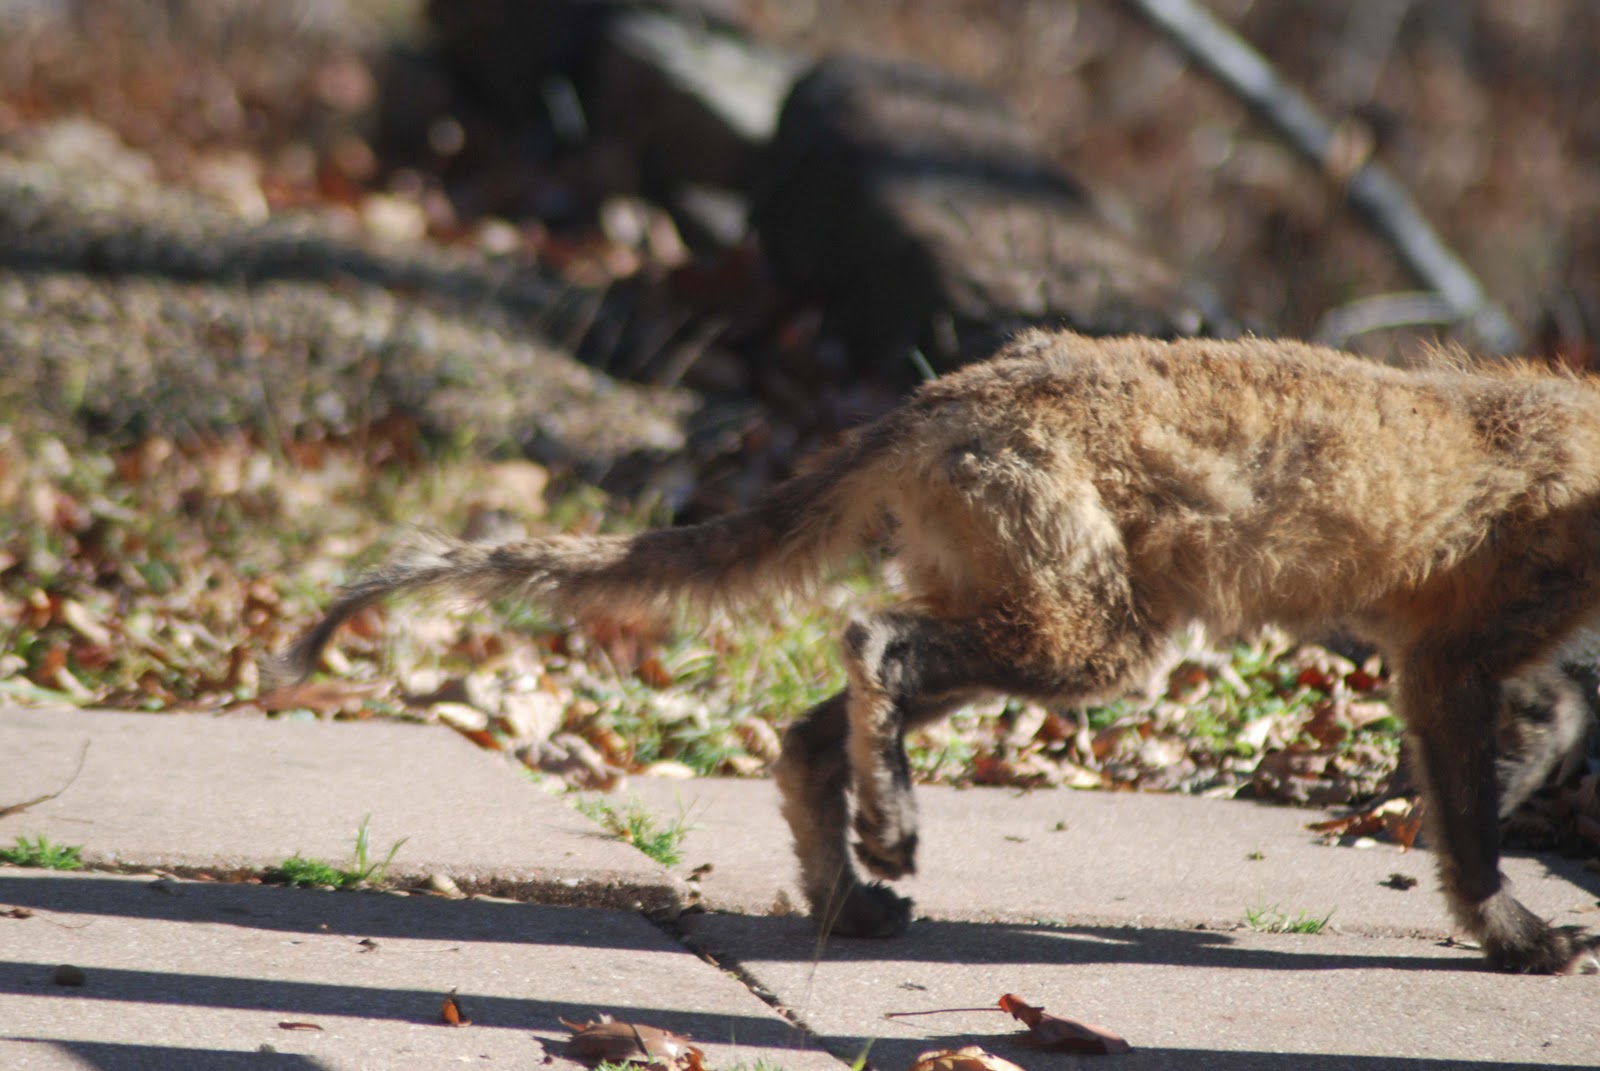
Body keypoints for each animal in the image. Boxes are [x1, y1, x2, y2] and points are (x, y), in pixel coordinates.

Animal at [270, 328, 1600, 974]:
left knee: (809, 731)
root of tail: (945, 389)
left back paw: (850, 884)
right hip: (1089, 639)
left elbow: (1550, 731)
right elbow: (1472, 829)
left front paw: (1495, 824)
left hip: (1037, 614)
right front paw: (1510, 932)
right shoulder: (1445, 659)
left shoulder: (1485, 655)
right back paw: (887, 831)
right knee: (872, 643)